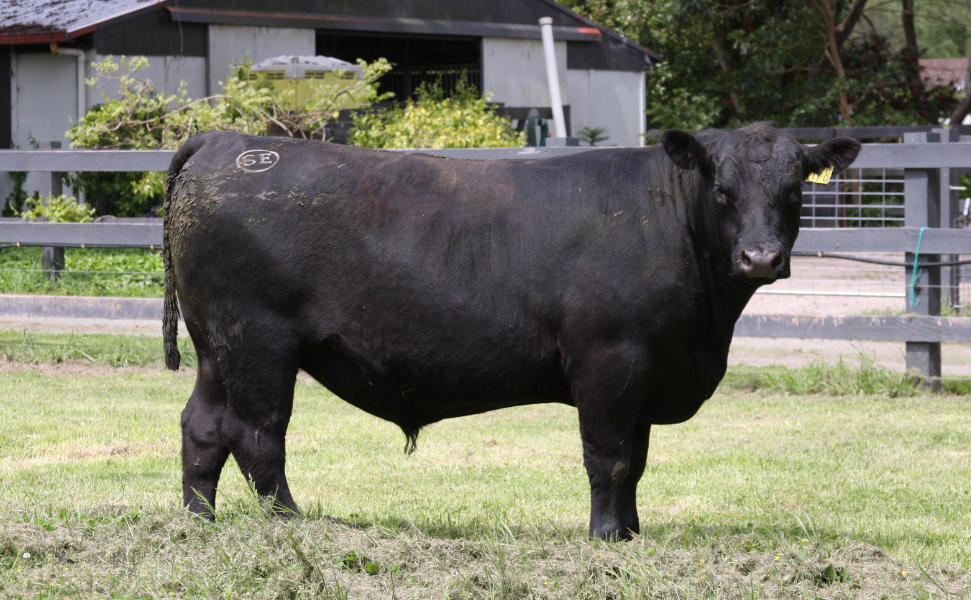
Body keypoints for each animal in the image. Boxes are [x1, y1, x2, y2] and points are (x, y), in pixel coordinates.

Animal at [162, 123, 860, 540]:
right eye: (721, 188)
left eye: (795, 189)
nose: (761, 257)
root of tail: (226, 140)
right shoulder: (610, 361)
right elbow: (607, 458)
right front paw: (605, 539)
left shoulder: (646, 373)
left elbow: (634, 464)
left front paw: (632, 534)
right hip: (259, 343)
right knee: (258, 437)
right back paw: (294, 523)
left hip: (215, 346)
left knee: (203, 428)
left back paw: (199, 523)